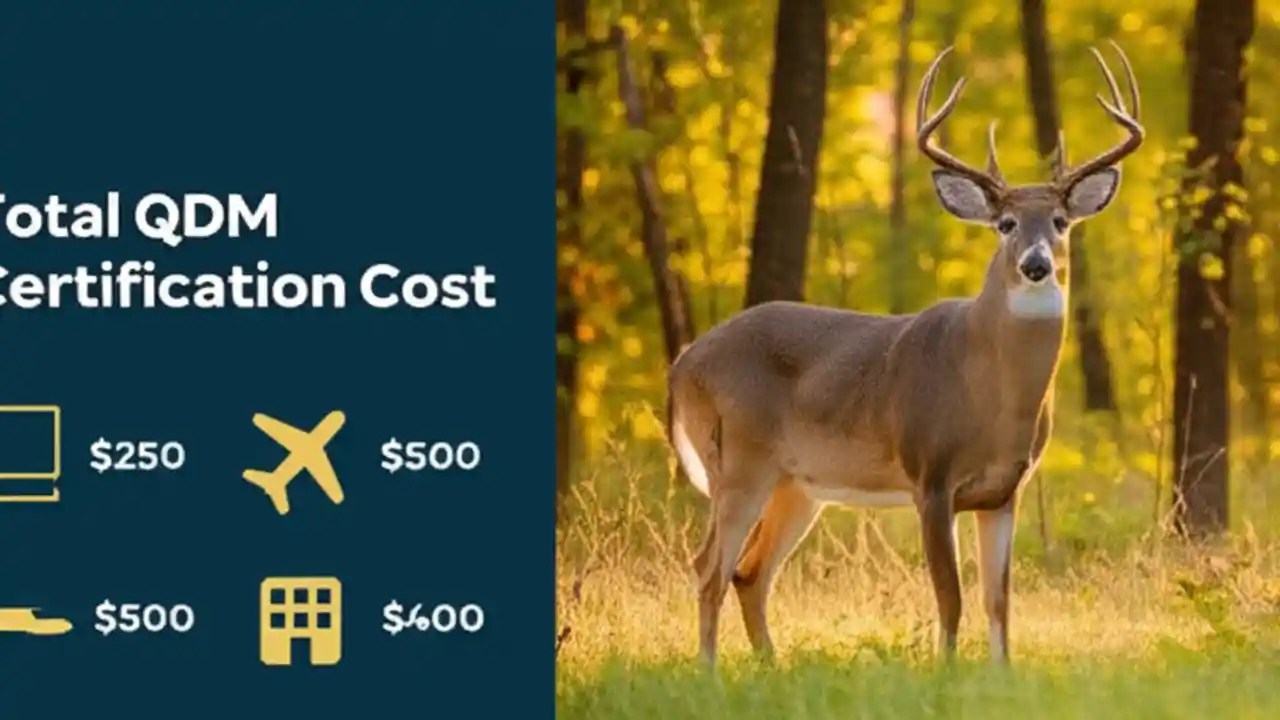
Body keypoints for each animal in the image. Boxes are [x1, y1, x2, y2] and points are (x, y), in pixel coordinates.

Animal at [666, 43, 1142, 667]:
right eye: (1006, 224)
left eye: (1060, 222)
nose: (1036, 264)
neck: (992, 395)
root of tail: (682, 364)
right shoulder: (930, 473)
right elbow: (950, 596)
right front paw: (946, 671)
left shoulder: (1004, 489)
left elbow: (999, 601)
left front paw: (1002, 674)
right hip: (739, 460)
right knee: (707, 570)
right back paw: (711, 672)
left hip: (797, 483)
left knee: (750, 573)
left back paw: (769, 667)